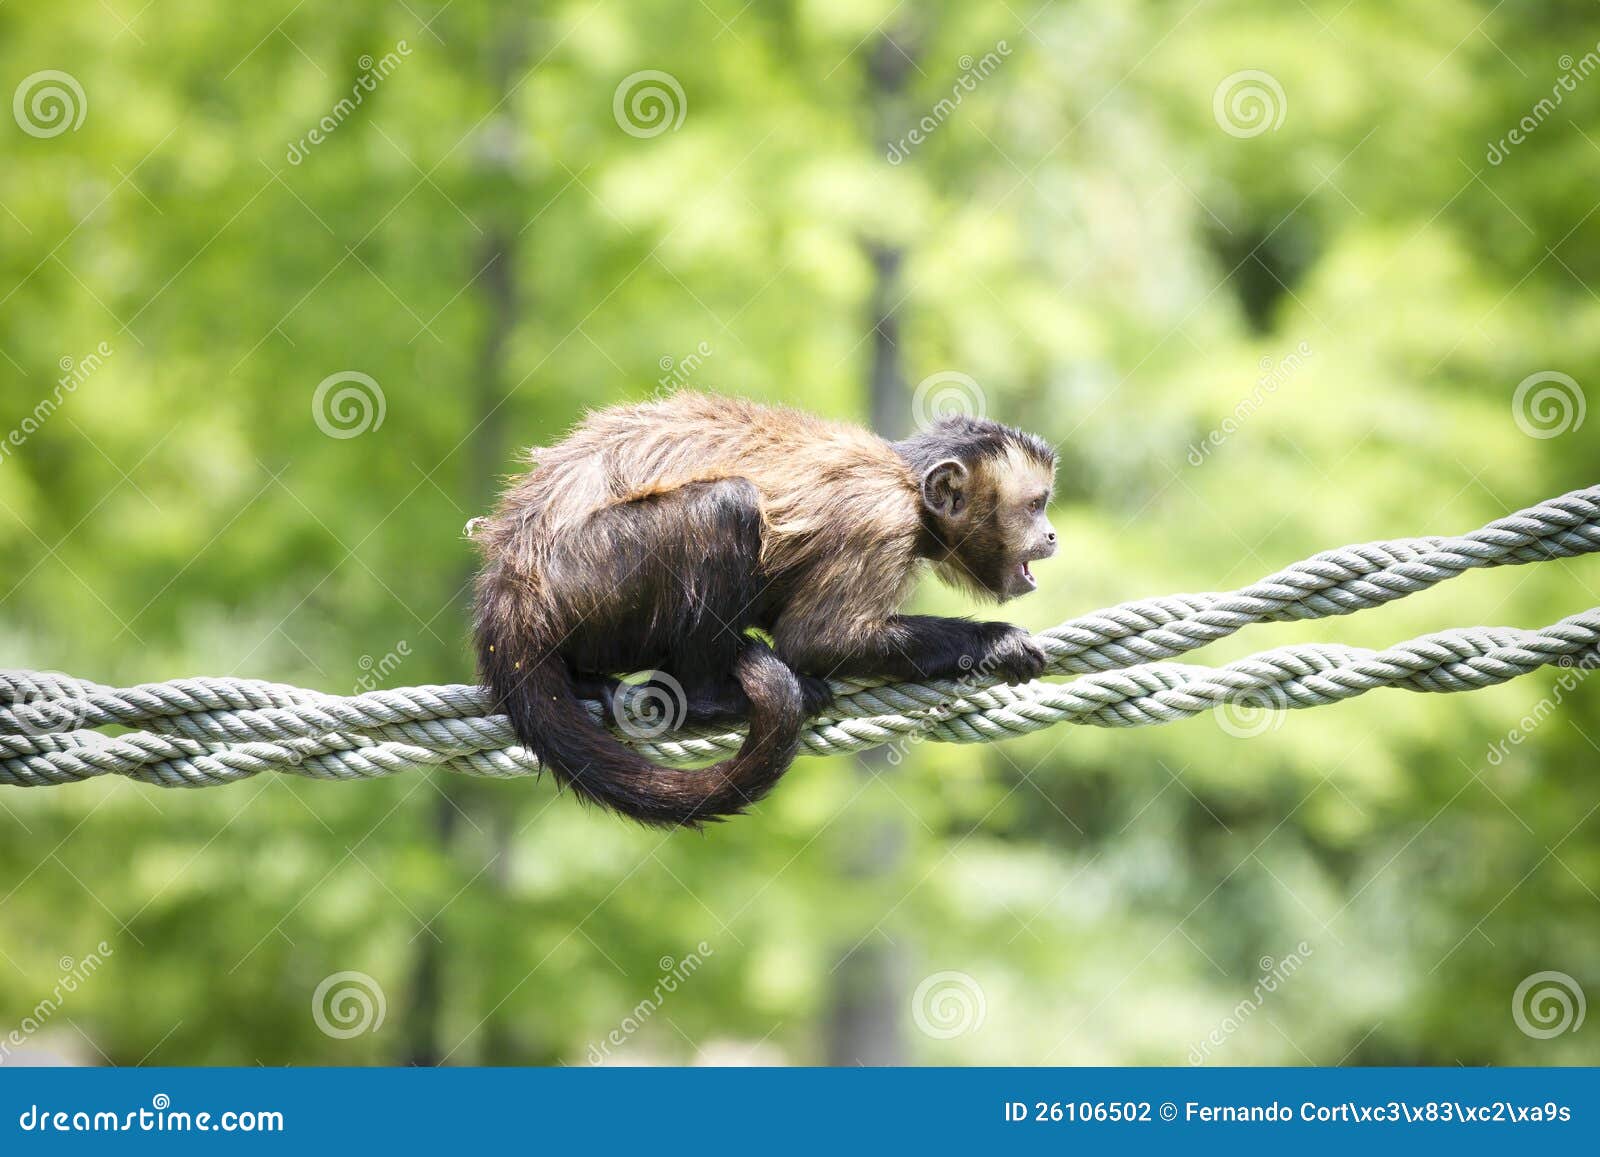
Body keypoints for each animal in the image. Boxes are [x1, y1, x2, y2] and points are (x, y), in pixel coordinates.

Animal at [472, 391, 1058, 829]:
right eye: (1035, 505)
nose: (1052, 535)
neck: (908, 486)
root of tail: (509, 585)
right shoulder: (879, 517)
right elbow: (816, 639)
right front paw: (997, 641)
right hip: (589, 573)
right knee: (725, 505)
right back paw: (708, 701)